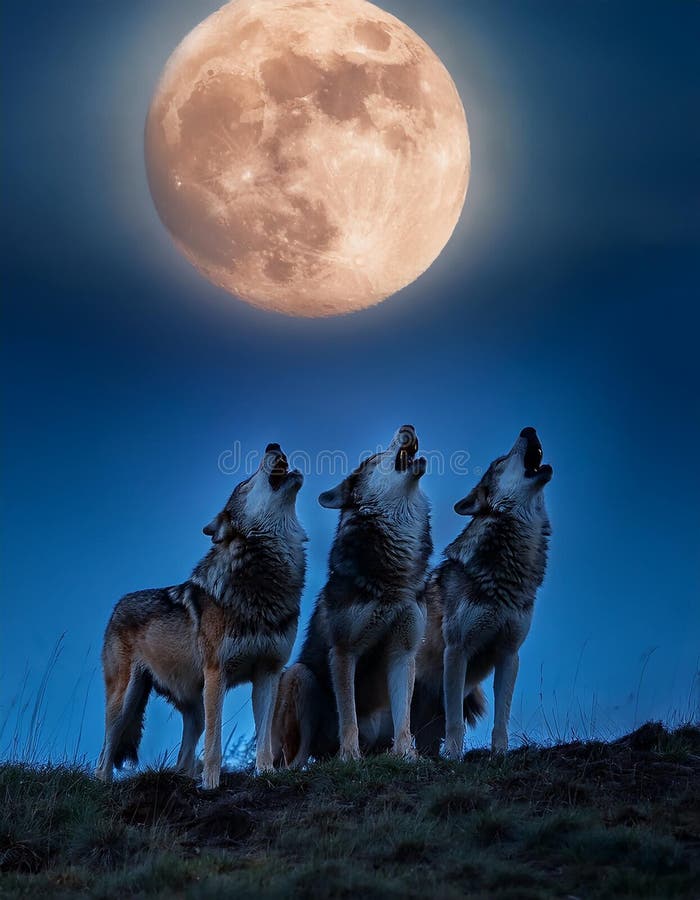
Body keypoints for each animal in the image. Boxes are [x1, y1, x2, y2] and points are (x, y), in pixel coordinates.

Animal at [95, 443, 306, 789]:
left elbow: (263, 738)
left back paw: (182, 777)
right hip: (126, 700)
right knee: (104, 754)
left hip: (191, 704)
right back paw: (104, 783)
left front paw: (266, 774)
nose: (272, 446)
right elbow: (215, 743)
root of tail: (117, 605)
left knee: (184, 753)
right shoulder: (216, 673)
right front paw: (210, 785)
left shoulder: (268, 672)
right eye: (245, 484)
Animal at [272, 425, 432, 766]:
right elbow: (349, 716)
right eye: (376, 458)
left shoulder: (404, 652)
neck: (393, 576)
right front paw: (350, 756)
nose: (407, 428)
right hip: (300, 677)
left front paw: (407, 755)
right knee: (297, 759)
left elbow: (404, 720)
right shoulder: (344, 652)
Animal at [419, 427, 552, 759]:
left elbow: (501, 717)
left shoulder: (509, 653)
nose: (529, 429)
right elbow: (455, 720)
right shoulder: (456, 651)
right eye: (500, 462)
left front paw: (500, 754)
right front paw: (454, 757)